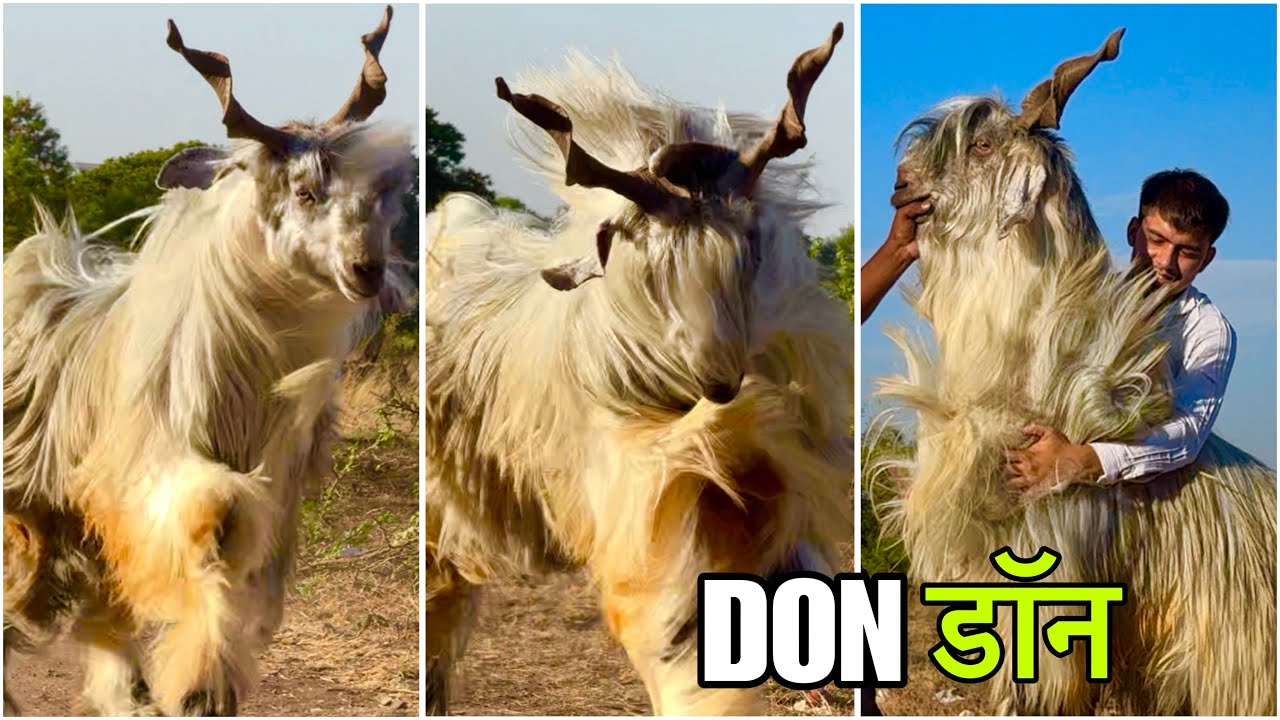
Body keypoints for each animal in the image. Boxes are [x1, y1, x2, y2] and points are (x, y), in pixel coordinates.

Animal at [2, 6, 413, 715]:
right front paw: (202, 679)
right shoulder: (157, 470)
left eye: (376, 190)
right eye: (305, 193)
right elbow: (213, 519)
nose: (367, 269)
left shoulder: (274, 475)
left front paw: (203, 681)